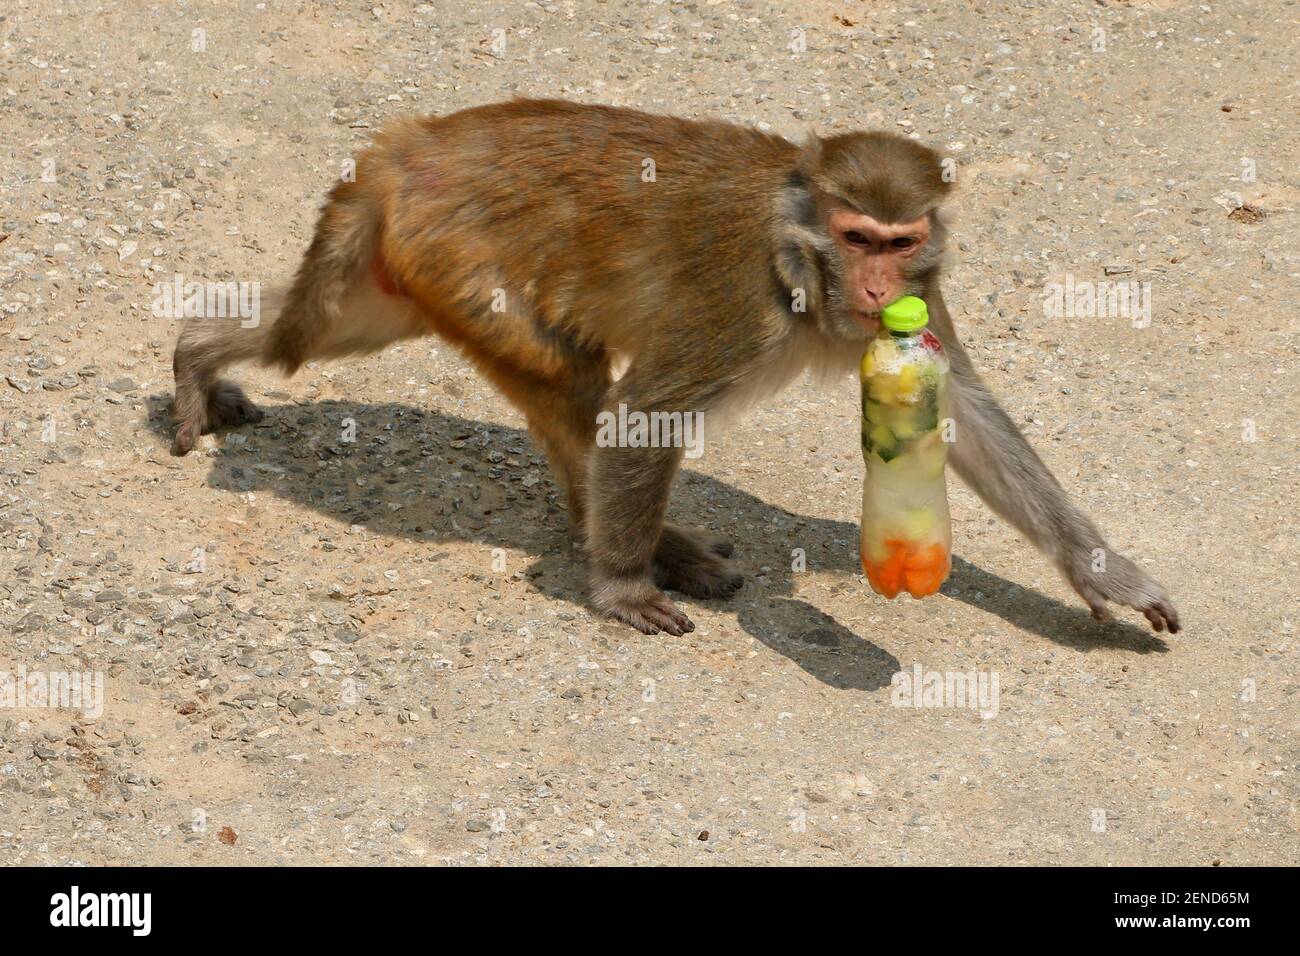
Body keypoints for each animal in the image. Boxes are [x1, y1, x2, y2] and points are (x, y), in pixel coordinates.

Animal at [172, 98, 1180, 638]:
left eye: (901, 242)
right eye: (858, 237)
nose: (878, 282)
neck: (801, 263)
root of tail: (407, 146)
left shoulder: (922, 302)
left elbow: (964, 411)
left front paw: (1103, 574)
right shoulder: (737, 309)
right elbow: (641, 416)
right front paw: (620, 589)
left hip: (410, 268)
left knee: (327, 330)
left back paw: (198, 354)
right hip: (461, 260)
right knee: (576, 385)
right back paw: (632, 552)